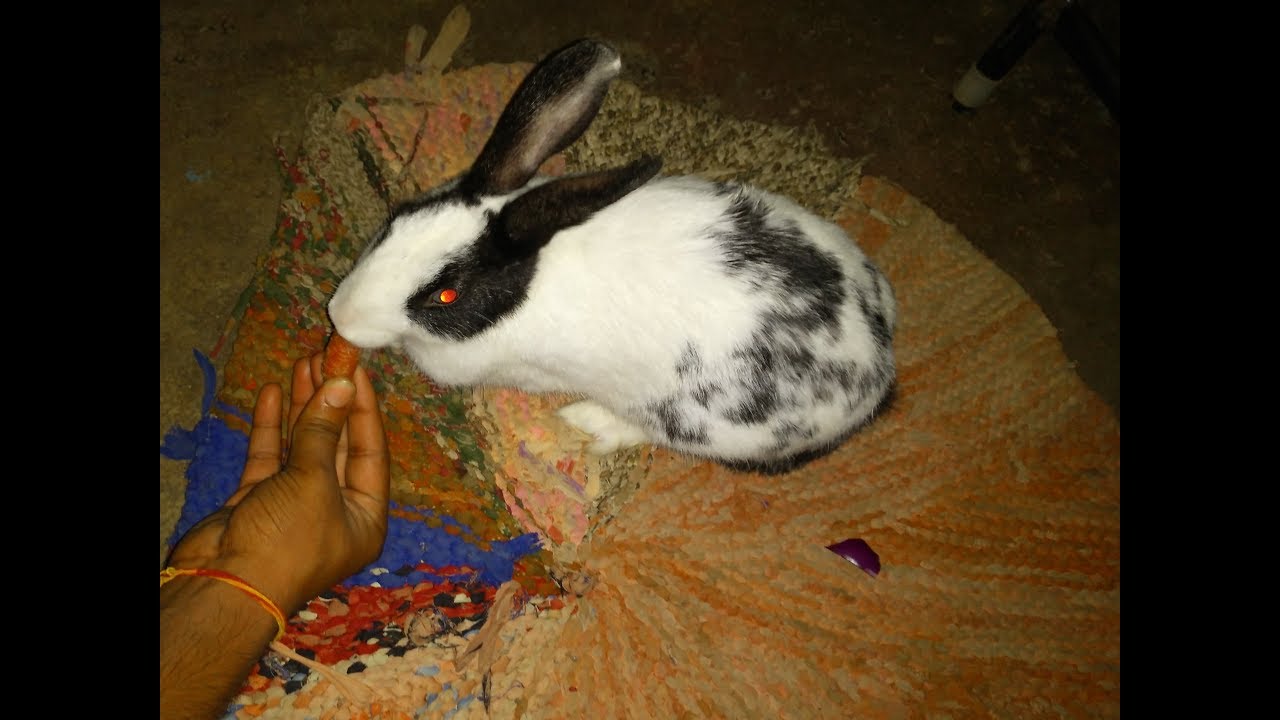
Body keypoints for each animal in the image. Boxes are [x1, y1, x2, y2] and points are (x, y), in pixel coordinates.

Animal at [328, 38, 898, 475]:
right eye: (397, 218)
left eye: (445, 296)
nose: (339, 315)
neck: (528, 278)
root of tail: (876, 371)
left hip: (697, 424)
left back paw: (587, 422)